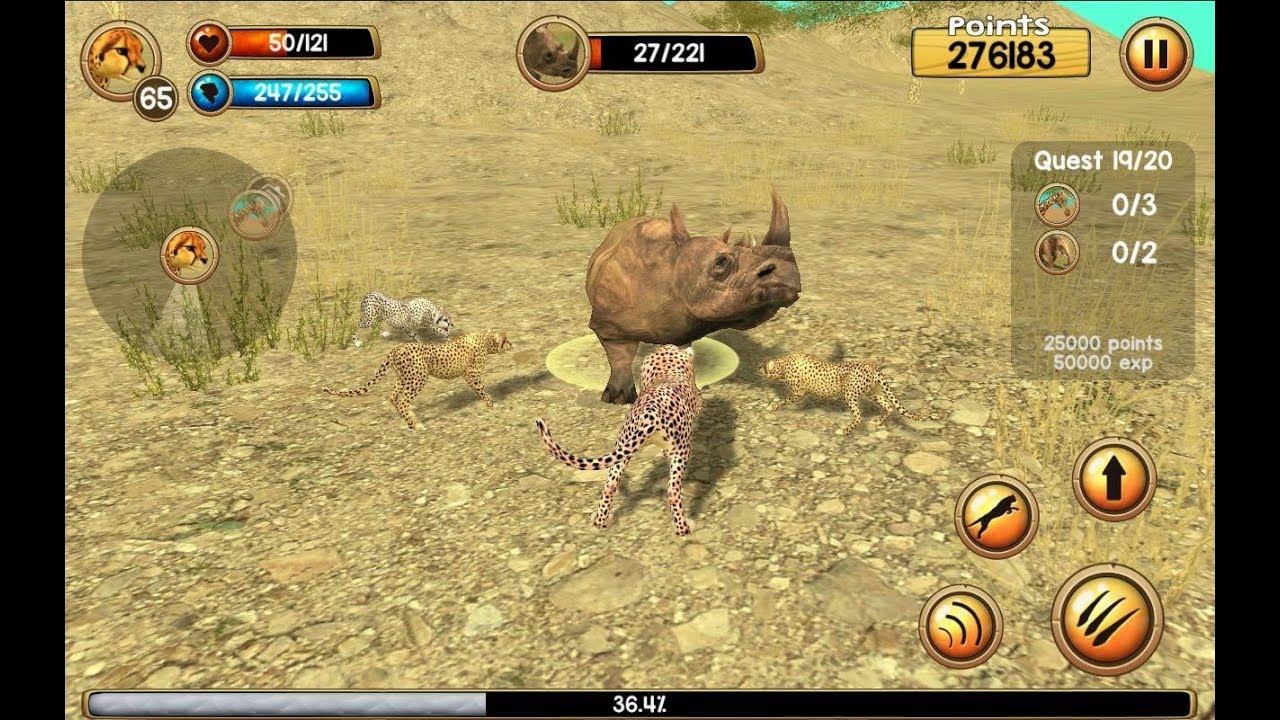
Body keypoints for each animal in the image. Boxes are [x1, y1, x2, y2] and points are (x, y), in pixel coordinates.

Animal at [323, 331, 511, 429]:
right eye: (506, 340)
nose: (511, 343)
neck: (485, 338)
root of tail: (394, 349)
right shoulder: (471, 374)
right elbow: (481, 389)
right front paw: (490, 403)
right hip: (417, 378)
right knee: (402, 401)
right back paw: (416, 425)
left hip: (404, 378)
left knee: (393, 397)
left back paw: (411, 421)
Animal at [536, 345, 703, 536]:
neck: (667, 371)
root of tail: (650, 413)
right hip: (680, 452)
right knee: (673, 493)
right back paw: (684, 529)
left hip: (623, 447)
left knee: (610, 486)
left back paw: (600, 522)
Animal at [759, 352, 931, 435]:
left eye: (762, 366)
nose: (757, 368)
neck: (784, 363)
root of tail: (872, 366)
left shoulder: (798, 392)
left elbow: (785, 399)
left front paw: (773, 406)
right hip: (872, 391)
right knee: (889, 406)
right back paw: (876, 422)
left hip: (849, 393)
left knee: (859, 416)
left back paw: (844, 430)